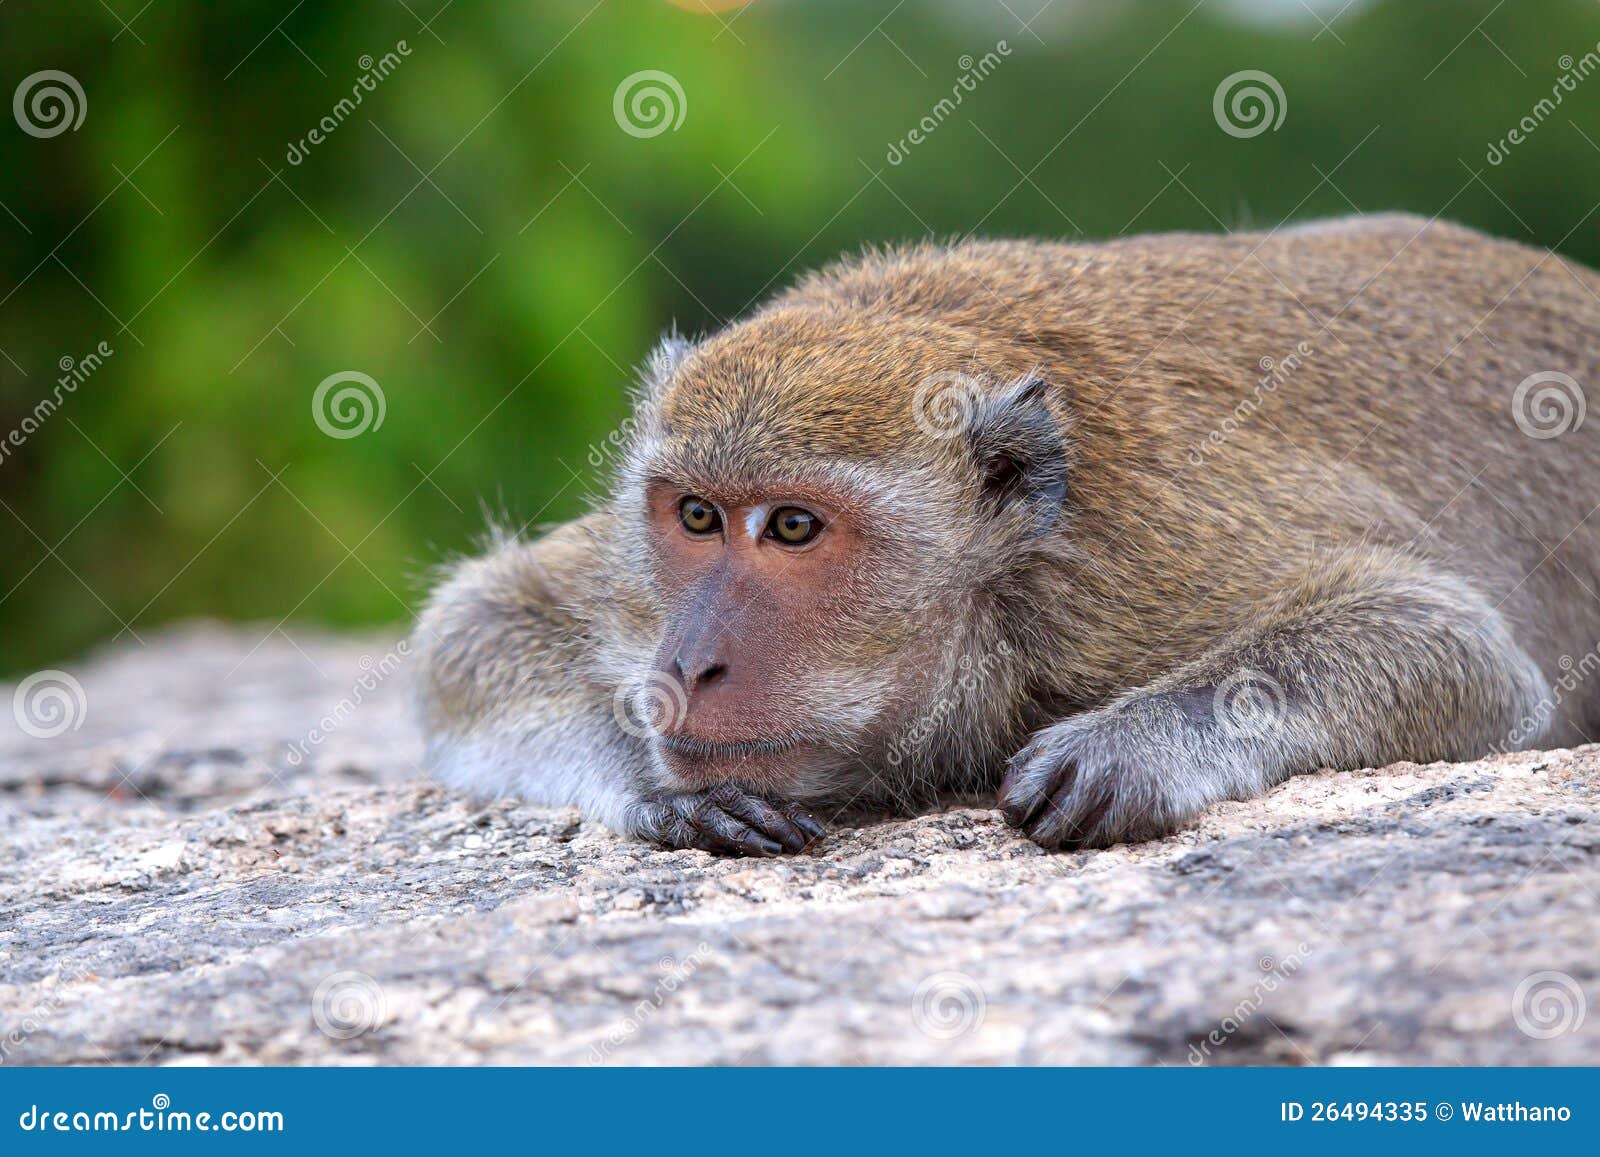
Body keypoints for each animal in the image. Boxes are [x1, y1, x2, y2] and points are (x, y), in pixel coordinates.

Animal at [411, 214, 1600, 855]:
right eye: (696, 516)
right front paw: (667, 792)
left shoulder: (1135, 561)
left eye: (792, 526)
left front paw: (1130, 743)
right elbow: (479, 620)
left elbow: (1450, 641)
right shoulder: (630, 574)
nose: (687, 661)